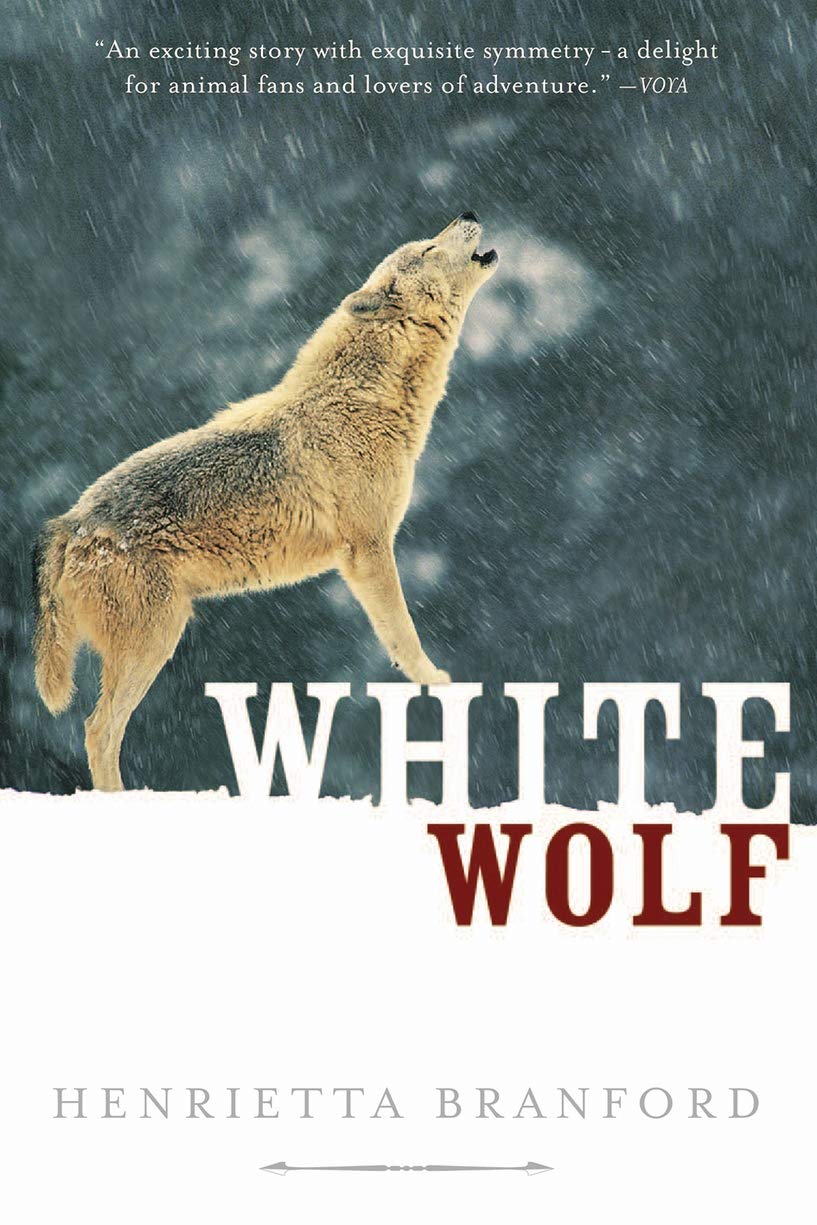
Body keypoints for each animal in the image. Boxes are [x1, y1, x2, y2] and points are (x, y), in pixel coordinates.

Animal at [32, 212, 499, 791]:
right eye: (429, 249)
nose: (468, 213)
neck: (365, 397)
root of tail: (73, 521)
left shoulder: (358, 557)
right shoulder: (369, 548)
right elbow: (403, 632)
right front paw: (434, 681)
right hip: (154, 641)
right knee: (98, 731)